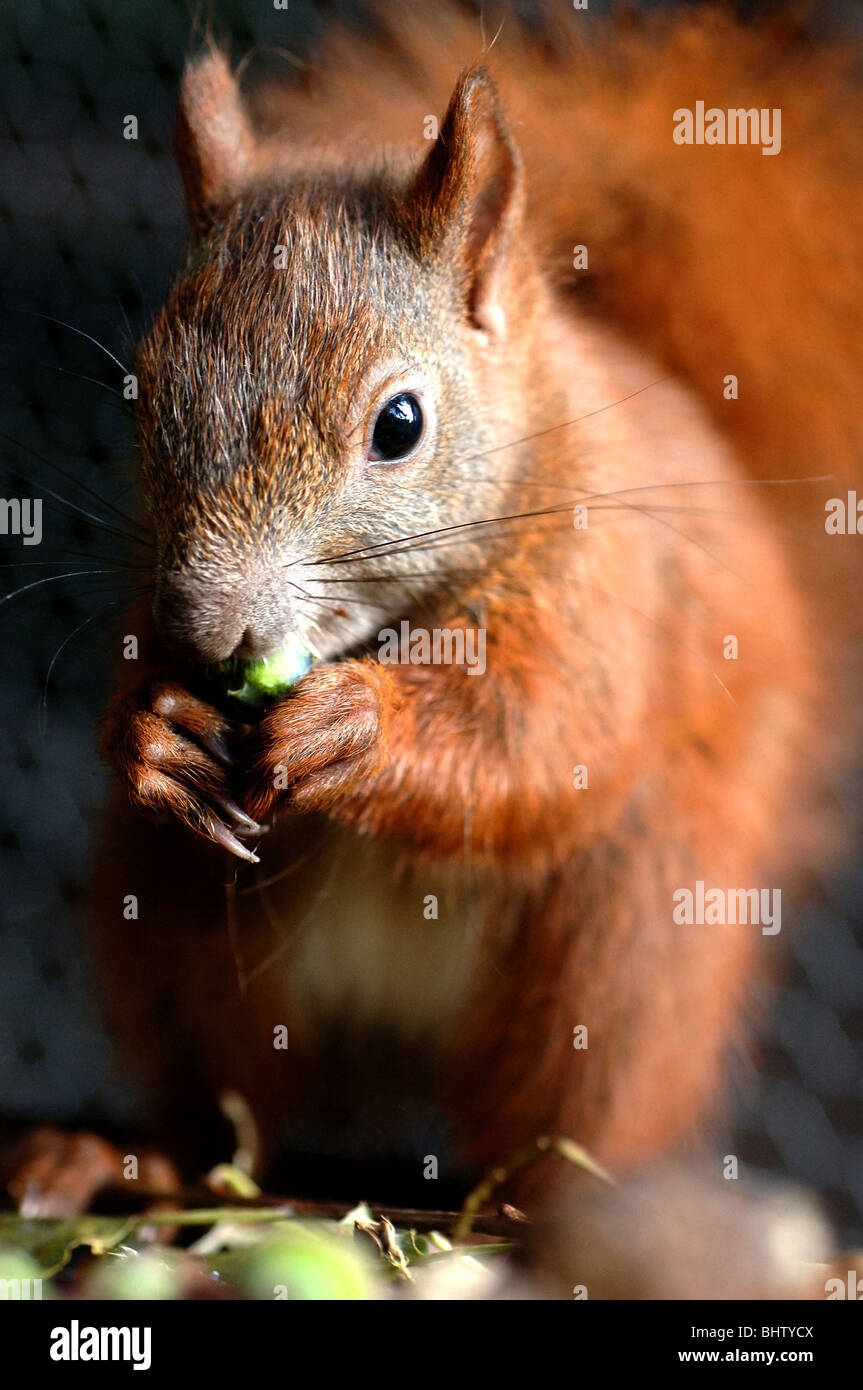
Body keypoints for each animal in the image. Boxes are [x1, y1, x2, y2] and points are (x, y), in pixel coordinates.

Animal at [5, 4, 863, 1222]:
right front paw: (153, 732)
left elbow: (541, 739)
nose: (216, 637)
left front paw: (356, 726)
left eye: (399, 424)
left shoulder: (608, 590)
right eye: (147, 396)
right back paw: (127, 1159)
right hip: (176, 920)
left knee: (576, 1097)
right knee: (228, 1104)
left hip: (627, 930)